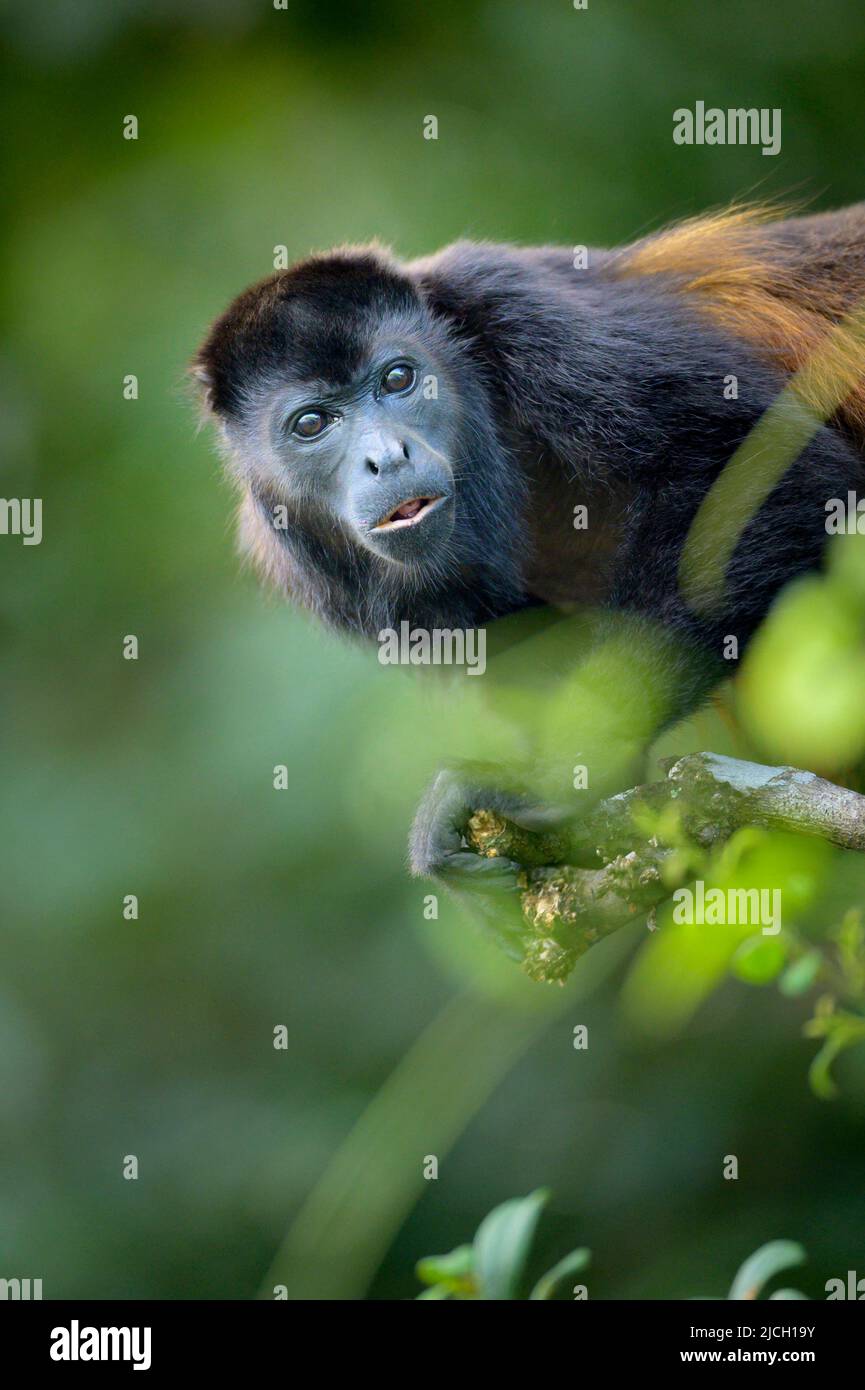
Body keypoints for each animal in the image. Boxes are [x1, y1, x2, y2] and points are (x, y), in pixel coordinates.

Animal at [193, 203, 865, 917]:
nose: (387, 457)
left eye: (399, 378)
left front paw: (559, 769)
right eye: (311, 424)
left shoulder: (526, 313)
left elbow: (774, 473)